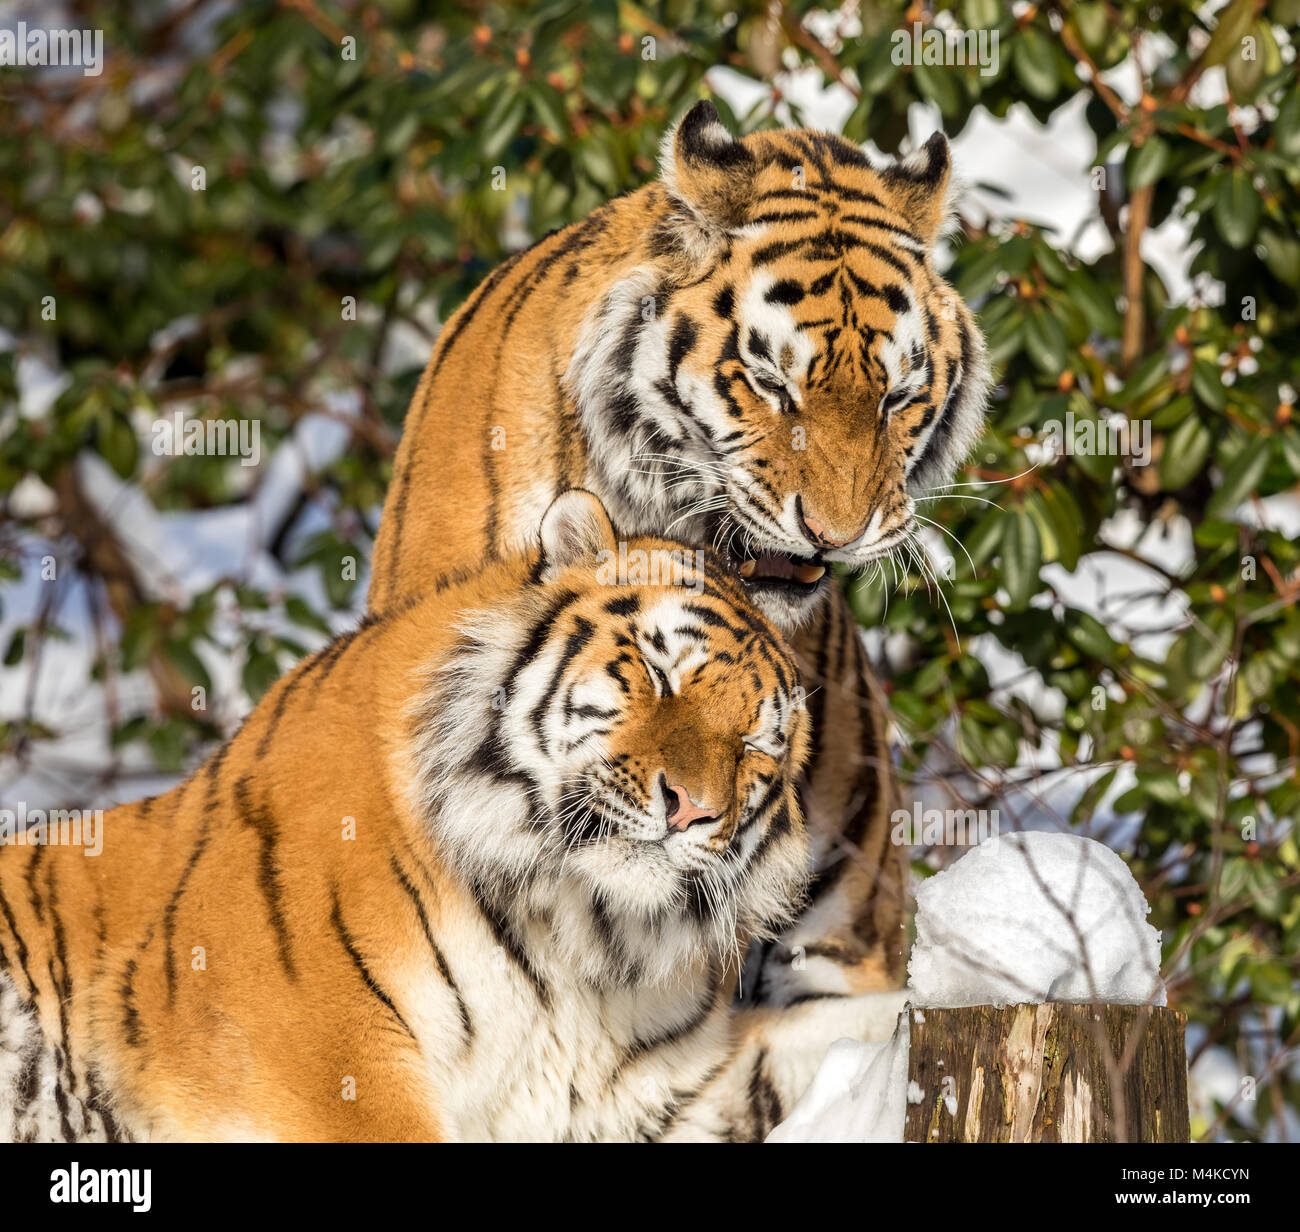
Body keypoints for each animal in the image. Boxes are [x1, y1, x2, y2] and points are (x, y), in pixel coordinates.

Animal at [0, 490, 907, 1142]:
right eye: (659, 672)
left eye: (754, 744)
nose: (694, 810)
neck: (581, 933)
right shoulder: (317, 1051)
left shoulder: (652, 1093)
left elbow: (822, 1039)